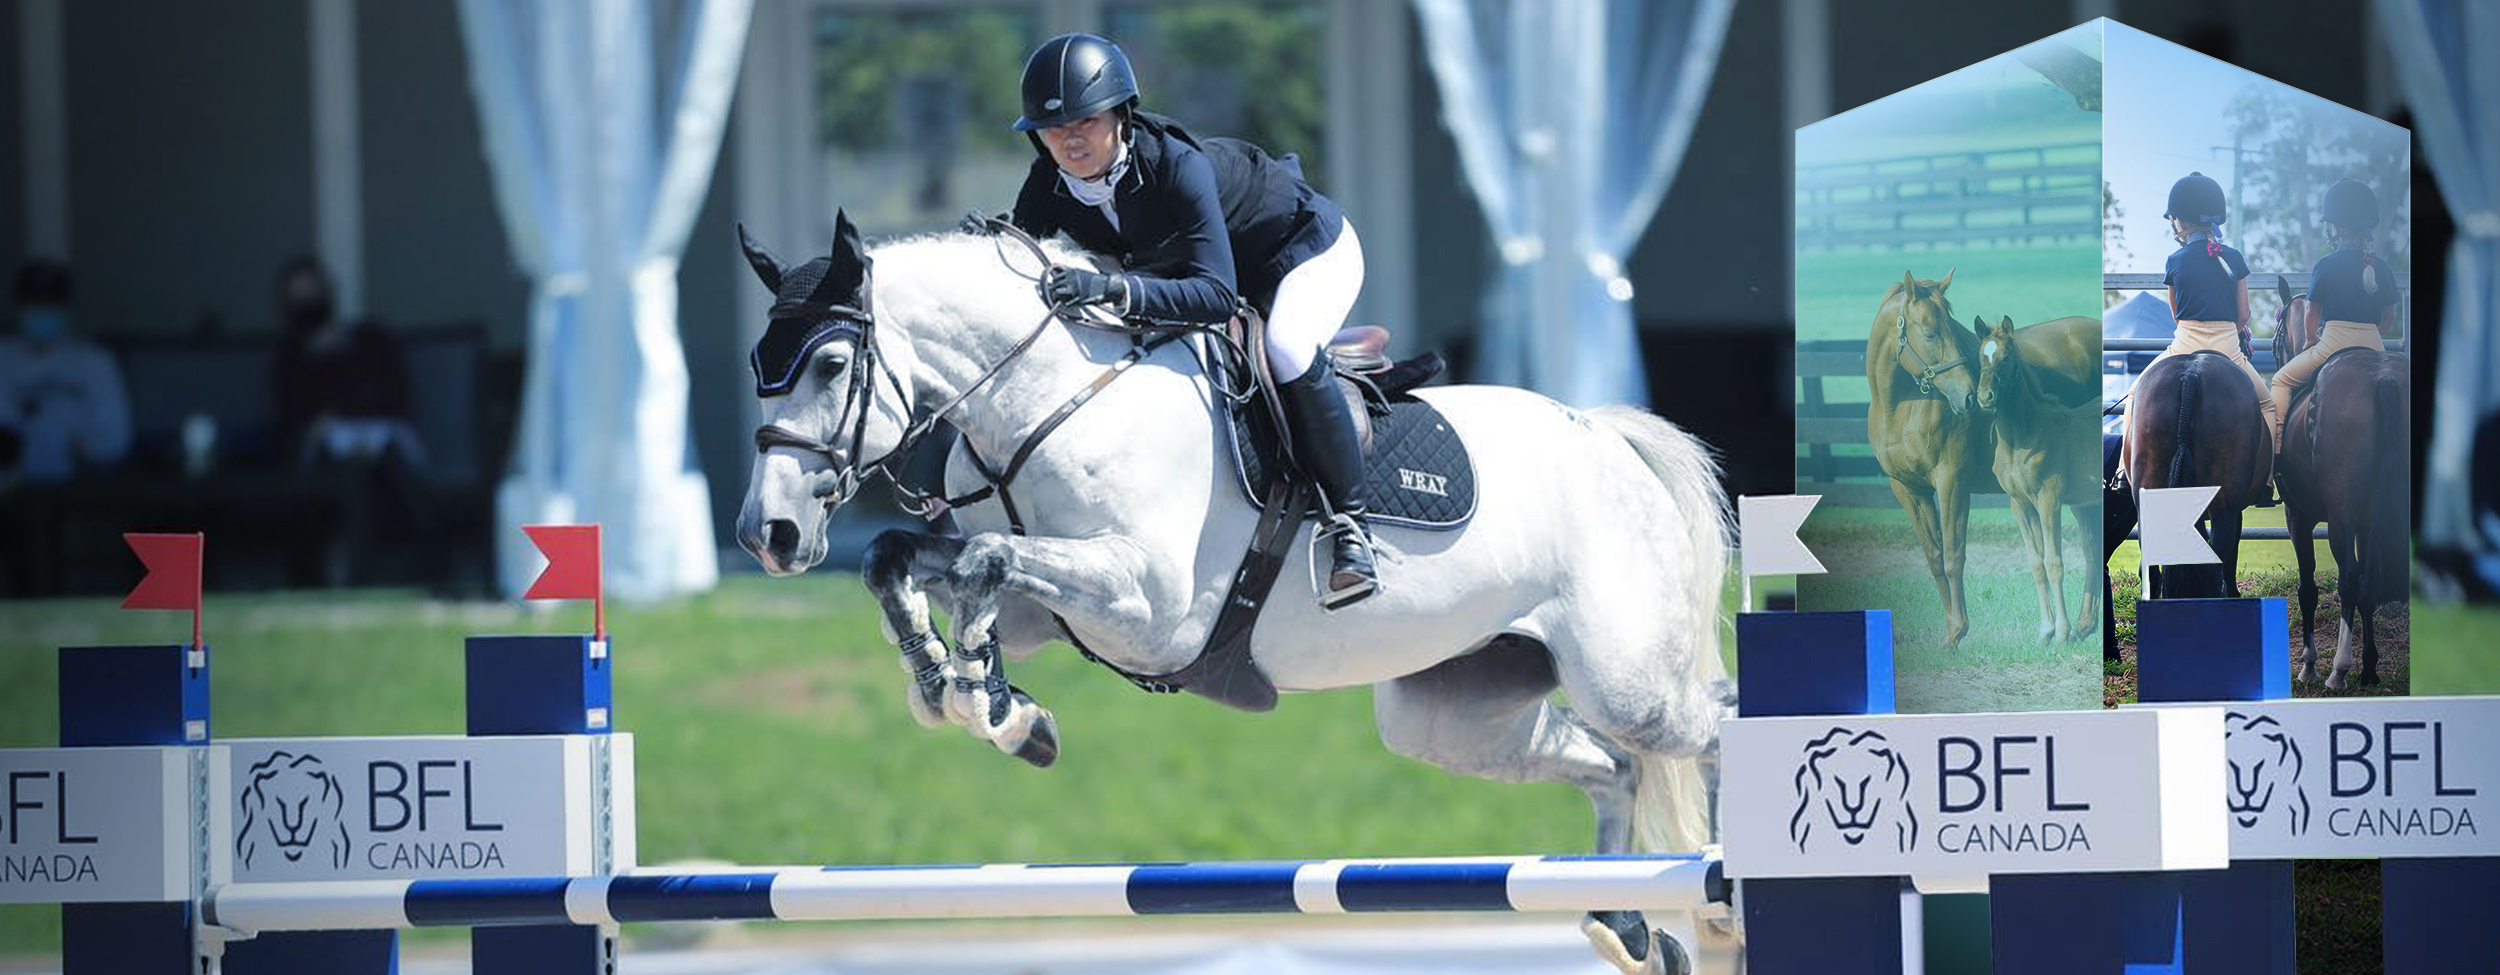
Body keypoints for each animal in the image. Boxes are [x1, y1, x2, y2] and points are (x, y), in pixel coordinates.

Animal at [734, 214, 1736, 975]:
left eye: (830, 366)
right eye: (759, 363)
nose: (766, 534)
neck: (1047, 400)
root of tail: (1604, 436)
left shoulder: (1147, 605)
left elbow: (983, 558)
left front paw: (986, 696)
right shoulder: (1045, 609)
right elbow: (908, 559)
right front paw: (972, 695)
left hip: (1628, 681)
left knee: (1711, 723)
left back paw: (1719, 895)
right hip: (1452, 711)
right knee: (1612, 767)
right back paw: (1630, 926)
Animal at [1865, 269, 1993, 650]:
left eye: (1954, 327)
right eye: (1931, 333)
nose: (1970, 396)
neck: (1898, 409)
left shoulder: (1952, 482)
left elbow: (1953, 555)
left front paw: (1958, 631)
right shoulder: (1908, 488)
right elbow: (1934, 557)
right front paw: (1951, 630)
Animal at [1972, 314, 2103, 645]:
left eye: (2006, 357)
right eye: (1980, 357)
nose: (1984, 397)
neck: (2023, 439)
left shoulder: (2049, 499)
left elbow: (2053, 562)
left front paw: (2061, 632)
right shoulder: (2019, 504)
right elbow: (2035, 562)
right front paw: (2045, 630)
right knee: (2093, 550)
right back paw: (2086, 625)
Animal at [2271, 281, 2409, 688]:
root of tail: (2383, 377)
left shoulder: (2298, 517)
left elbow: (2309, 588)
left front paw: (2310, 665)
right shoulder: (2367, 521)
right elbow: (2366, 591)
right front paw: (2370, 665)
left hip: (2339, 516)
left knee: (2347, 577)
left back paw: (2338, 670)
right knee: (2362, 582)